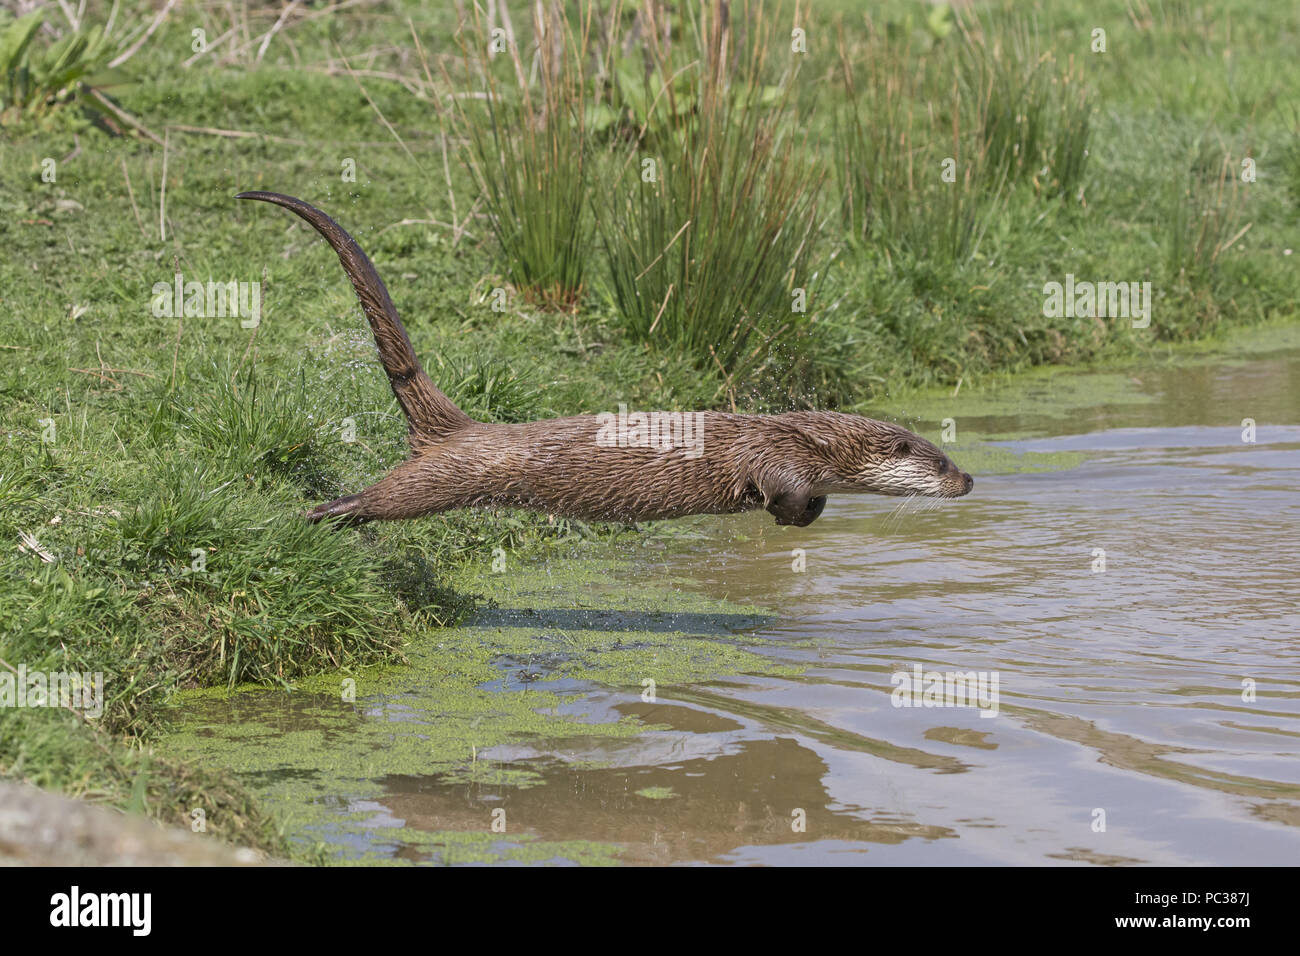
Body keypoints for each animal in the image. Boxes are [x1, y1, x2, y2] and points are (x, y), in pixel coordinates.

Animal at [235, 192, 973, 528]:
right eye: (939, 460)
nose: (968, 480)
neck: (812, 440)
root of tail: (460, 429)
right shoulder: (777, 455)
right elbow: (785, 491)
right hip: (441, 479)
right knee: (384, 495)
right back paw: (318, 515)